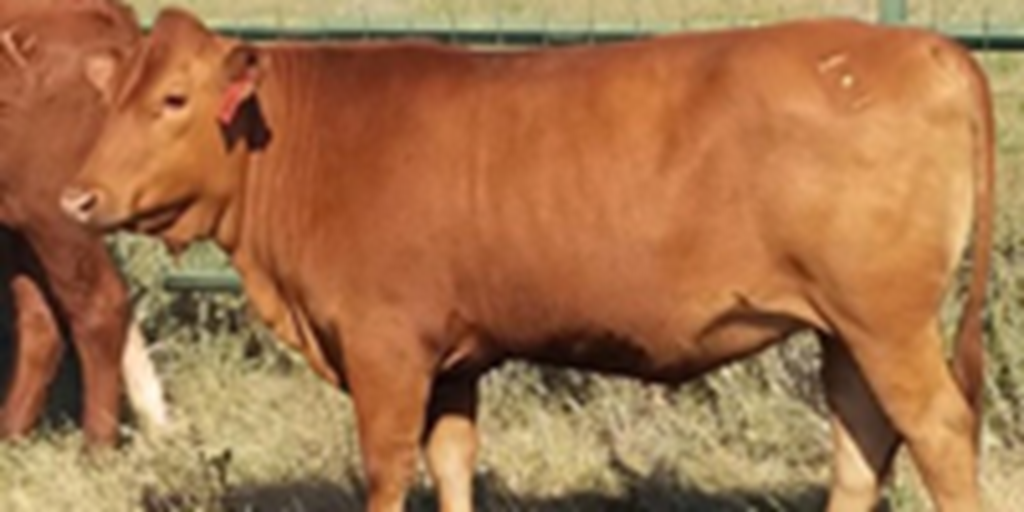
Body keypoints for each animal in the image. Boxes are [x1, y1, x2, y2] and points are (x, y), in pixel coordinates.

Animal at [62, 7, 994, 511]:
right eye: (110, 96)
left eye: (173, 99)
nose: (78, 198)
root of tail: (924, 46)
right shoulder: (452, 359)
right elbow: (452, 460)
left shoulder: (386, 349)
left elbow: (388, 468)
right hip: (845, 330)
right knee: (862, 445)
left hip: (886, 323)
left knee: (940, 432)